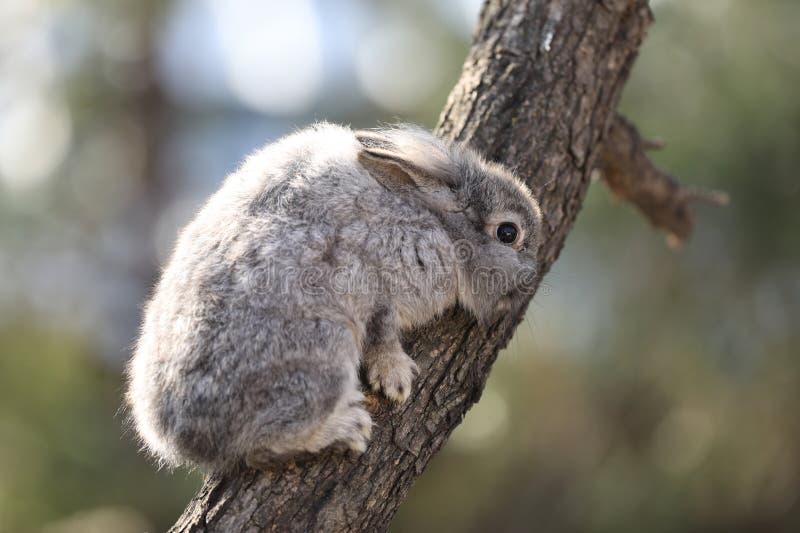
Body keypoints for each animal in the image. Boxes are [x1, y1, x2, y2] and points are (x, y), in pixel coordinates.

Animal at [126, 123, 543, 472]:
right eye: (508, 233)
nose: (528, 283)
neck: (439, 223)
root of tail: (176, 438)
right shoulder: (379, 283)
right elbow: (382, 334)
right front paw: (396, 380)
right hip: (321, 359)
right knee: (263, 448)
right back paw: (345, 429)